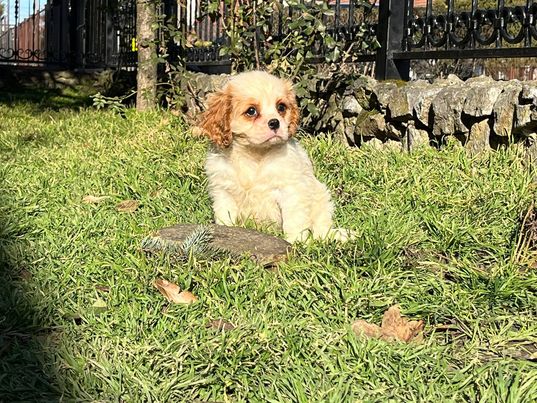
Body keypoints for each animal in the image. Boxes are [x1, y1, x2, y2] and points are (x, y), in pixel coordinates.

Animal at [197, 70, 348, 243]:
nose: (275, 122)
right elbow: (225, 217)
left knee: (321, 228)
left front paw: (296, 242)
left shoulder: (291, 189)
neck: (254, 154)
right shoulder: (223, 191)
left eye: (281, 107)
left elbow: (294, 220)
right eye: (251, 111)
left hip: (321, 197)